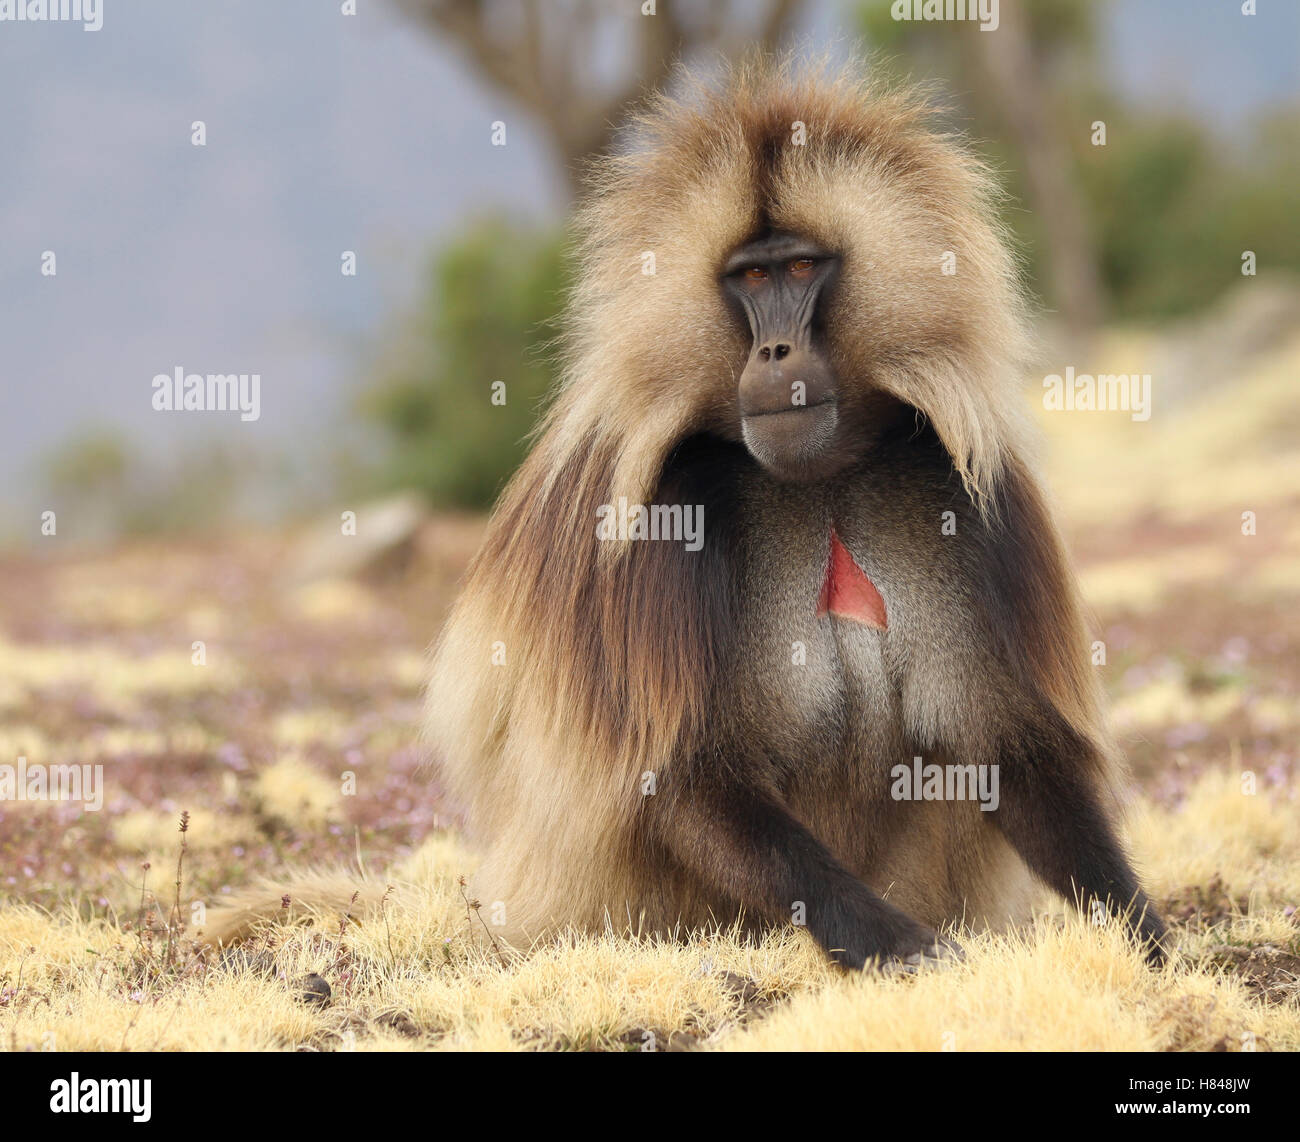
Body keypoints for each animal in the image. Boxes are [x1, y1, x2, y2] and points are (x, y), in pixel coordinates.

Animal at [201, 59, 1166, 970]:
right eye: (749, 278)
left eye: (803, 268)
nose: (775, 351)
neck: (821, 476)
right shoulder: (659, 518)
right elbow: (677, 780)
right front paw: (897, 946)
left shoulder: (956, 489)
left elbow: (1001, 746)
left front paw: (1143, 934)